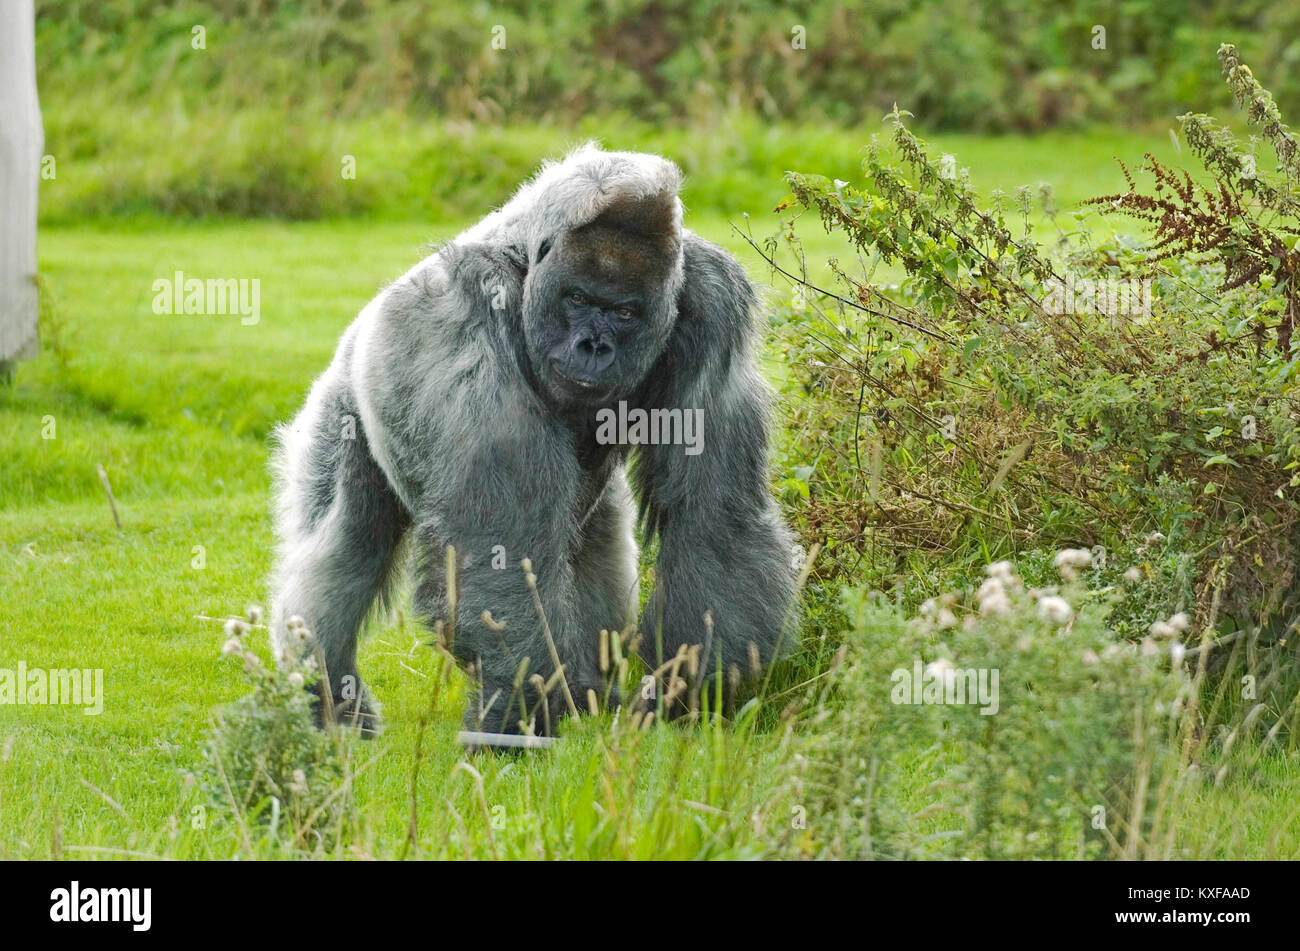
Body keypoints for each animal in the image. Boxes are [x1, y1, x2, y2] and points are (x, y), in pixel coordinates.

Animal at [268, 143, 797, 736]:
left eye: (625, 311)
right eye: (578, 298)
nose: (594, 346)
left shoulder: (714, 303)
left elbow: (713, 517)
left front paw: (688, 684)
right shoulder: (457, 317)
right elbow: (500, 543)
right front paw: (527, 702)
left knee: (594, 545)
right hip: (341, 400)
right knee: (349, 539)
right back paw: (328, 698)